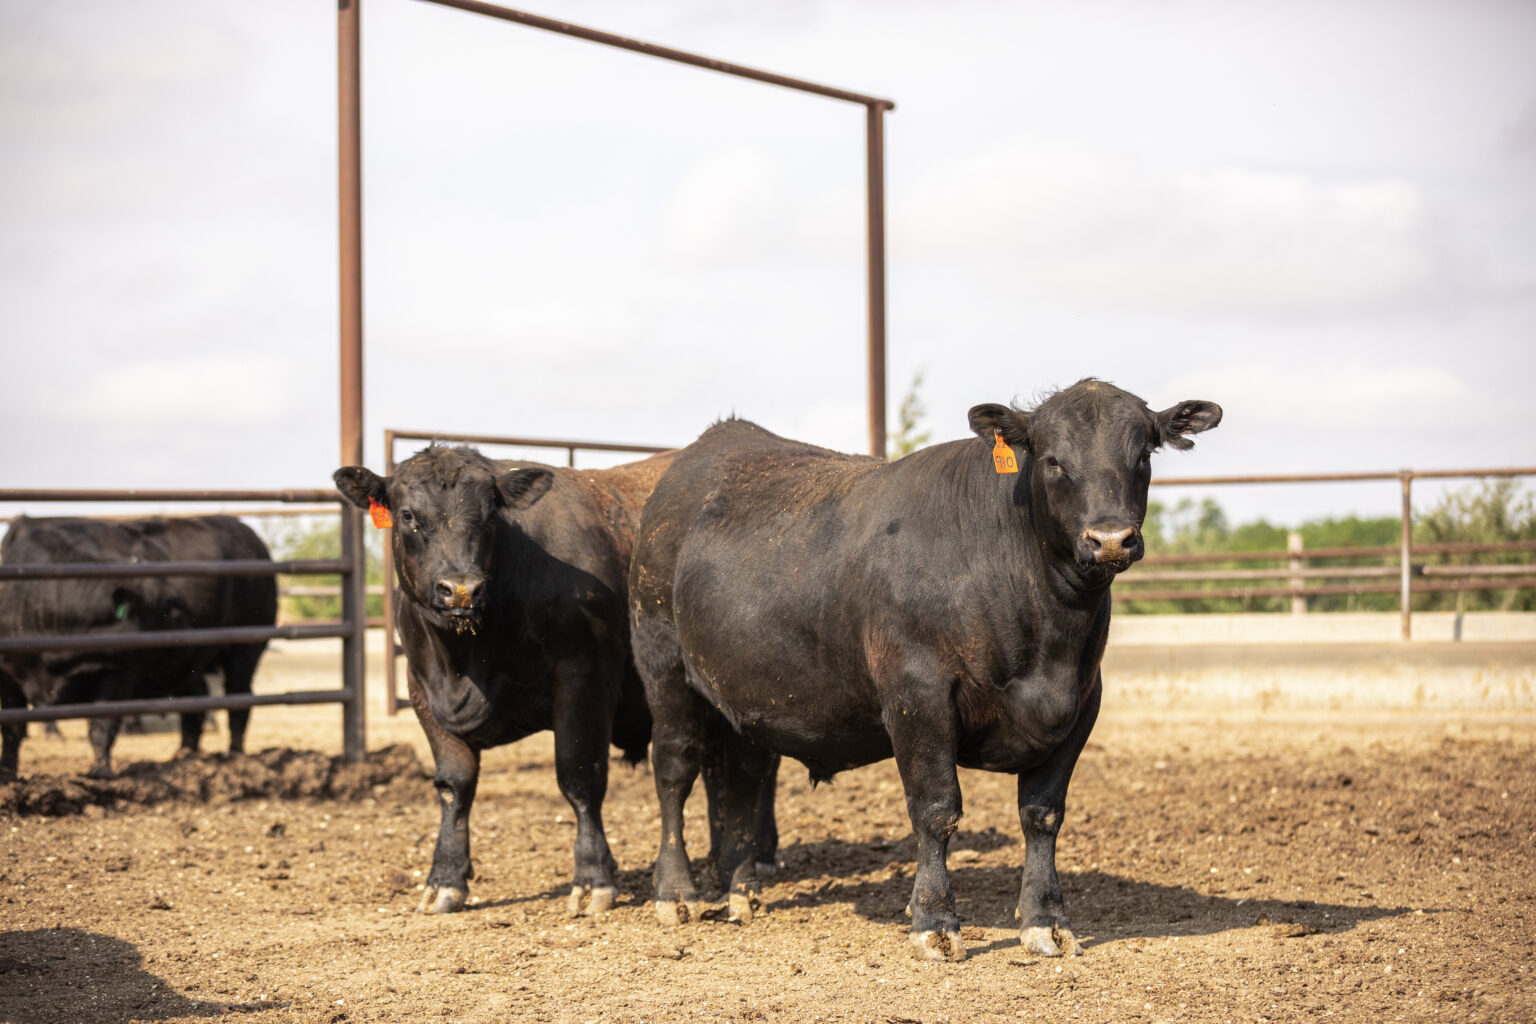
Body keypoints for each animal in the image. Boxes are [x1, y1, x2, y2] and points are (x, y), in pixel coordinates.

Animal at [0, 515, 277, 780]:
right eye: (170, 611)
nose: (192, 633)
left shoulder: (118, 671)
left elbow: (102, 726)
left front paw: (100, 772)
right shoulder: (8, 675)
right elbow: (11, 728)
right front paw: (8, 774)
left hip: (245, 650)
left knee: (239, 700)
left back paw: (236, 756)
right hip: (190, 669)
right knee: (195, 704)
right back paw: (185, 755)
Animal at [334, 445, 766, 918]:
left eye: (490, 516)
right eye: (408, 514)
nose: (461, 588)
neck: (463, 662)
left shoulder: (582, 681)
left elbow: (579, 777)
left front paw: (593, 879)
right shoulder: (422, 693)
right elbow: (454, 786)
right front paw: (444, 880)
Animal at [629, 379, 1221, 959]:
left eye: (1143, 454)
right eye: (1053, 459)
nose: (1110, 539)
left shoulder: (1080, 703)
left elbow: (1043, 814)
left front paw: (1046, 922)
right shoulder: (919, 697)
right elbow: (936, 810)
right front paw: (934, 921)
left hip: (749, 694)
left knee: (744, 778)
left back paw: (743, 891)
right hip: (663, 664)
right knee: (674, 771)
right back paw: (675, 893)